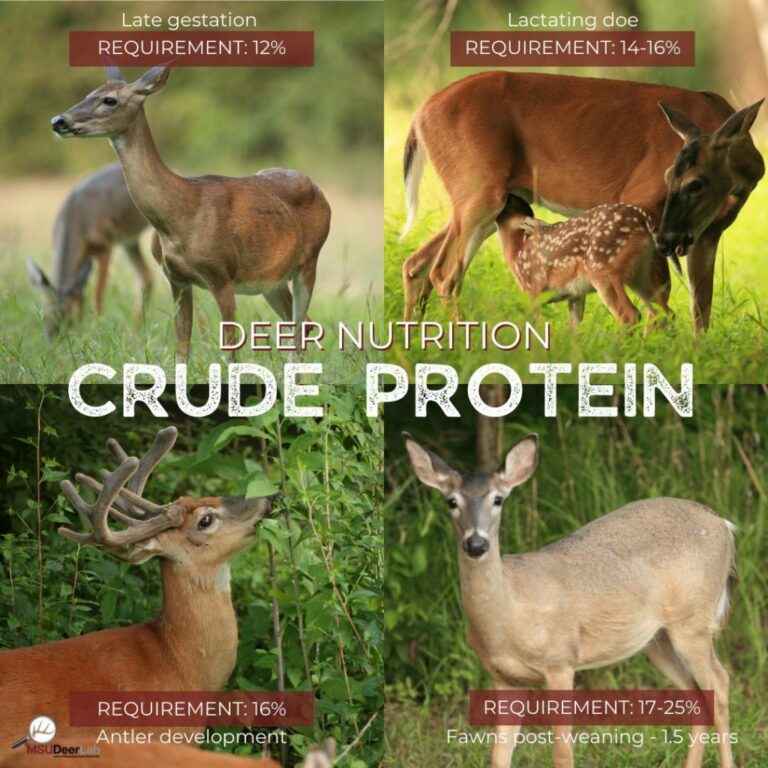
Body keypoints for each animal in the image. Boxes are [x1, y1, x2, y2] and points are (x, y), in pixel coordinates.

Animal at [26, 163, 151, 341]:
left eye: (67, 317)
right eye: (45, 315)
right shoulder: (82, 256)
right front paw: (81, 334)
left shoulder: (105, 246)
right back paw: (136, 333)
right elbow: (80, 295)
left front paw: (94, 334)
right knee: (146, 277)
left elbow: (97, 298)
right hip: (130, 241)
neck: (77, 219)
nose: (54, 340)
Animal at [50, 66, 331, 360]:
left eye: (109, 100)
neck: (181, 215)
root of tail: (318, 190)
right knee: (302, 324)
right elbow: (181, 349)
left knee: (300, 327)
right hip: (271, 280)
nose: (58, 121)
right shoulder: (176, 279)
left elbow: (230, 352)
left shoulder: (222, 275)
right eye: (88, 93)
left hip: (308, 260)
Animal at [404, 432, 737, 768]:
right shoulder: (505, 677)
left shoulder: (561, 661)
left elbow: (562, 753)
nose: (476, 544)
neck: (510, 612)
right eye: (451, 501)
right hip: (658, 640)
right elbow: (498, 754)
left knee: (719, 682)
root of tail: (724, 524)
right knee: (697, 693)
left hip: (693, 621)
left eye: (498, 499)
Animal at [495, 196, 672, 332]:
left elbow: (535, 324)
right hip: (643, 273)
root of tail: (645, 219)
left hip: (603, 269)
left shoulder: (533, 290)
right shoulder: (575, 294)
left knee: (630, 315)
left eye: (512, 201)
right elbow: (573, 328)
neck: (517, 250)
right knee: (664, 313)